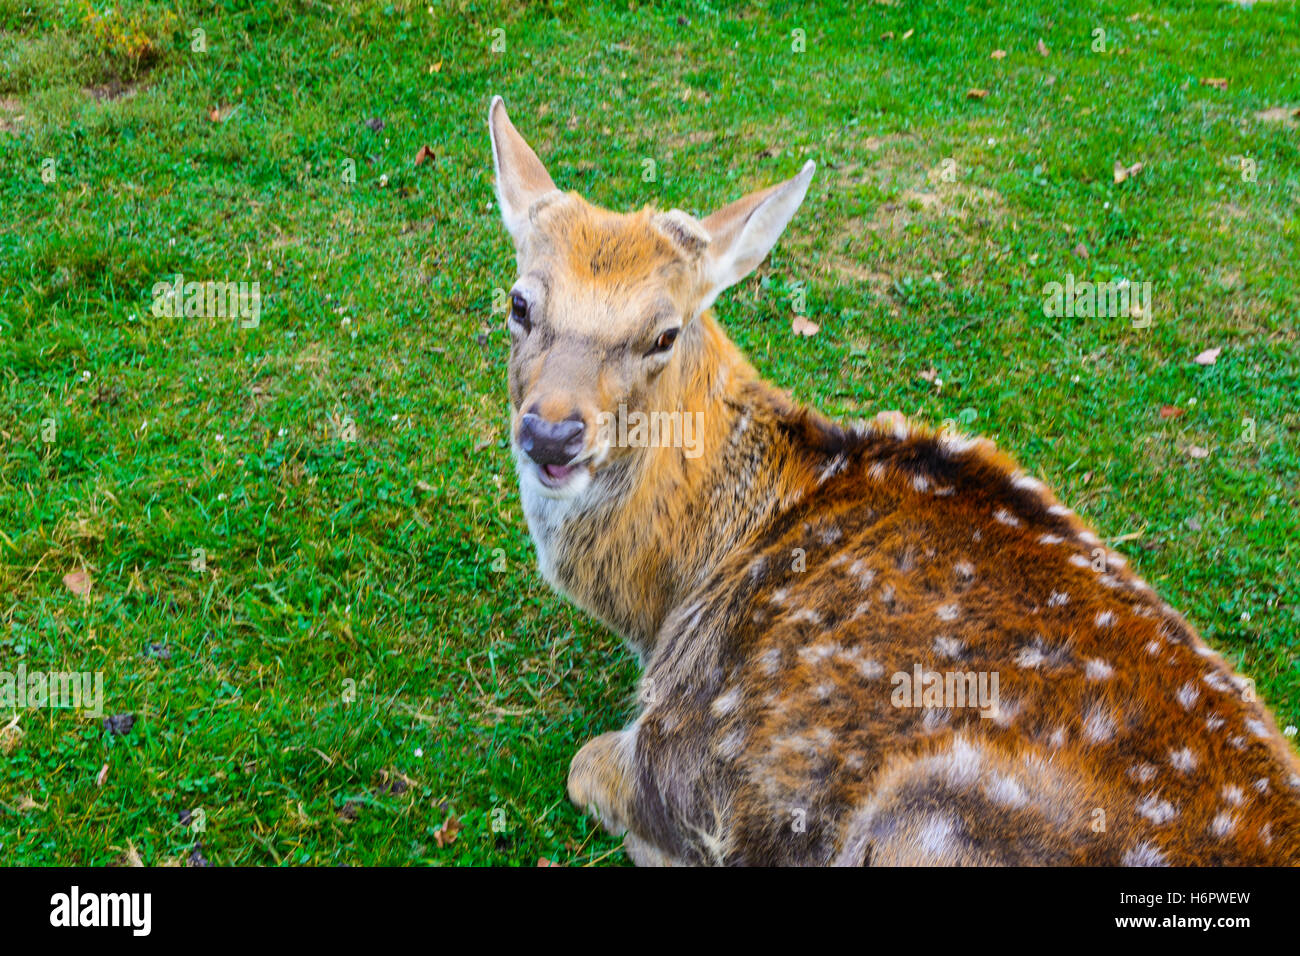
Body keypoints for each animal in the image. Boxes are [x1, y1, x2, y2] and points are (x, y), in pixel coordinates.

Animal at [487, 96, 1300, 866]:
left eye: (664, 333)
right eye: (520, 304)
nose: (551, 432)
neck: (672, 596)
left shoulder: (687, 755)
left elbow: (585, 765)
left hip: (929, 814)